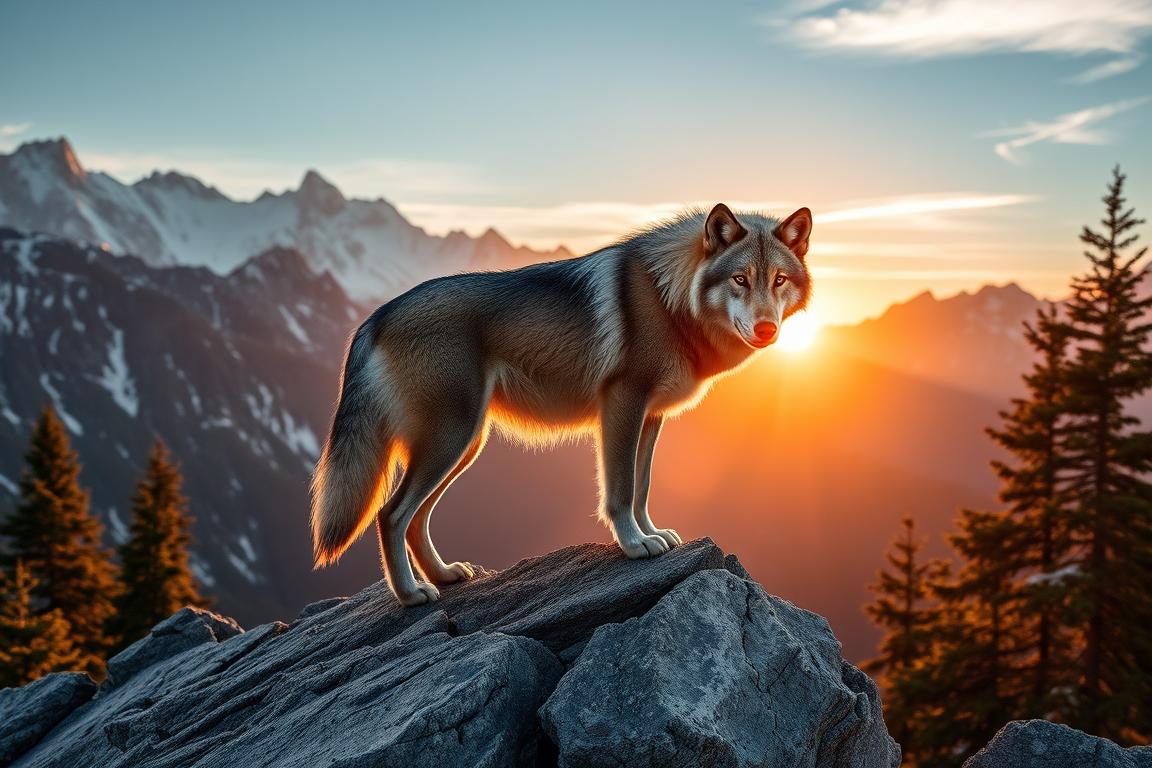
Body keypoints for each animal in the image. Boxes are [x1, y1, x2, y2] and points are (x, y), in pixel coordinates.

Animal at [310, 203, 813, 605]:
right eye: (740, 279)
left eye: (778, 280)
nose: (767, 330)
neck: (669, 297)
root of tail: (376, 316)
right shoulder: (622, 405)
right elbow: (620, 490)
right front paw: (634, 545)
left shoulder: (651, 417)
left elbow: (643, 487)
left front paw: (652, 534)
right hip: (451, 439)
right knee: (390, 515)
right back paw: (411, 594)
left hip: (465, 444)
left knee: (414, 520)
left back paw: (444, 576)